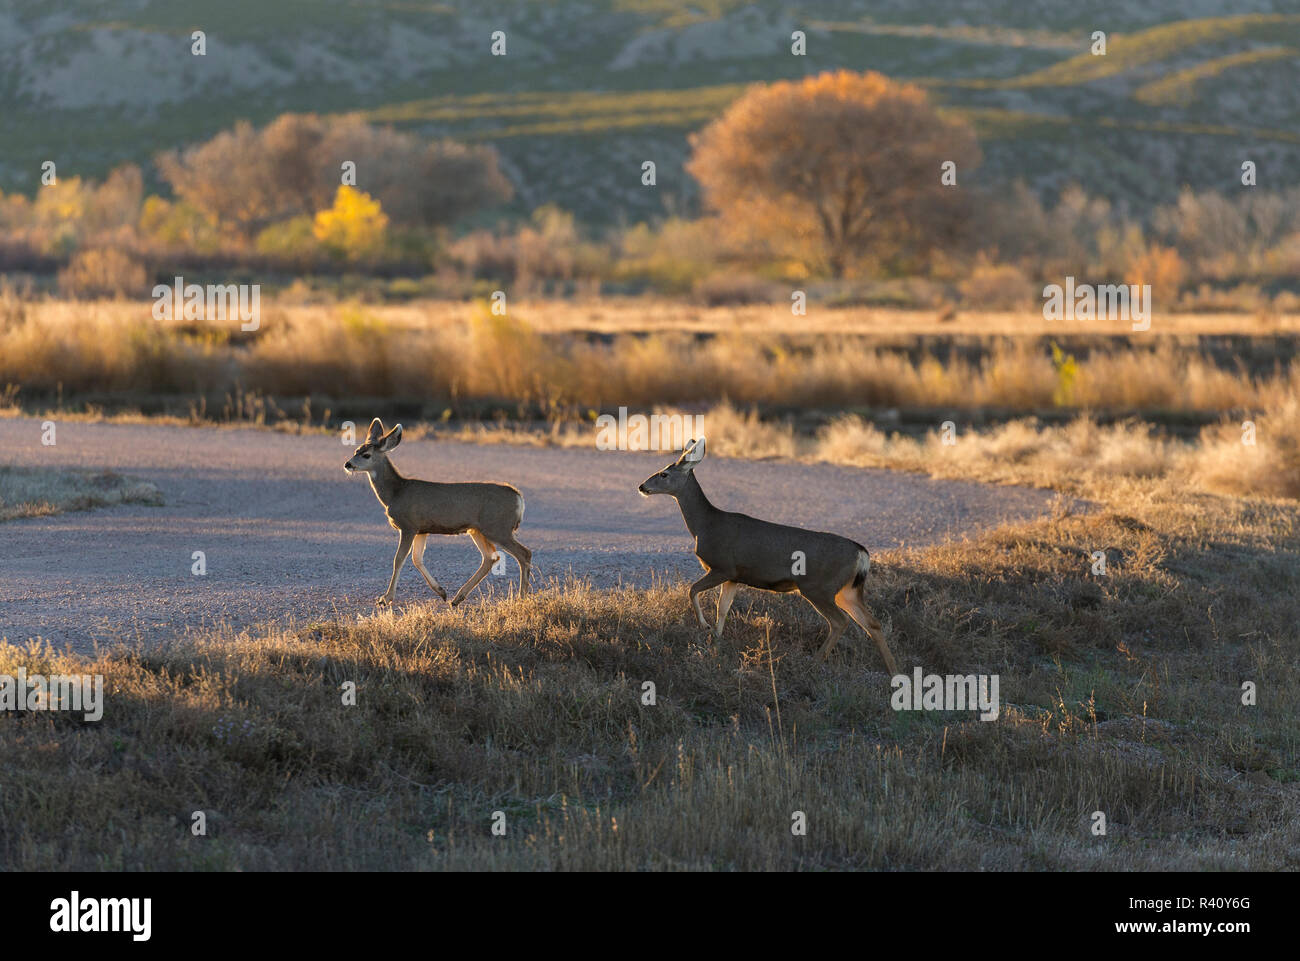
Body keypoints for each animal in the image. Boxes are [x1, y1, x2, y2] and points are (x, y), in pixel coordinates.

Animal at [344, 418, 532, 608]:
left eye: (366, 455)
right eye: (356, 450)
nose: (348, 464)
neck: (395, 493)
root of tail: (519, 497)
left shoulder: (408, 525)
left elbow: (399, 559)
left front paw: (385, 598)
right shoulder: (422, 529)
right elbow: (417, 559)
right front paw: (441, 592)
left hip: (498, 528)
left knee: (524, 553)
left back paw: (521, 597)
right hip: (478, 529)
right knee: (490, 557)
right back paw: (457, 598)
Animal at [638, 438, 899, 672]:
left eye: (663, 474)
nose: (642, 487)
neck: (705, 526)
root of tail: (861, 553)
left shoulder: (723, 567)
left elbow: (692, 591)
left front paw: (705, 626)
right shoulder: (734, 576)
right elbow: (723, 608)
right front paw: (716, 640)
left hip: (818, 587)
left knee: (840, 621)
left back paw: (815, 661)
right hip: (847, 590)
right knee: (872, 623)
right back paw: (893, 670)